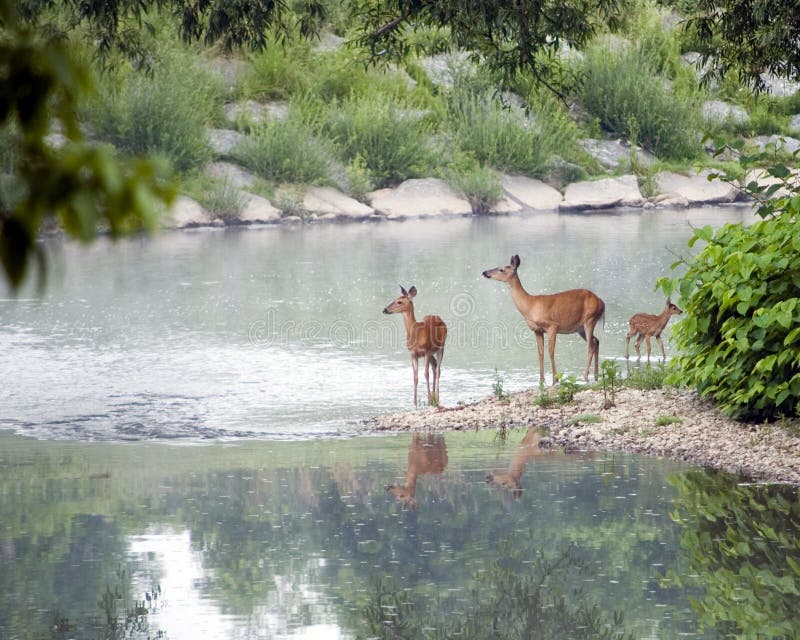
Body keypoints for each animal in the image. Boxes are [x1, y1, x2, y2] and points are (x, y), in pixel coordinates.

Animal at [482, 254, 605, 384]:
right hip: (580, 328)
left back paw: (586, 376)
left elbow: (551, 351)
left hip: (590, 319)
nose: (484, 272)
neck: (530, 306)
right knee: (596, 341)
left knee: (590, 346)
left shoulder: (552, 325)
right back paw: (596, 375)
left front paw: (555, 379)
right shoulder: (537, 330)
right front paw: (541, 380)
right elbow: (540, 353)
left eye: (502, 269)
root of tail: (602, 302)